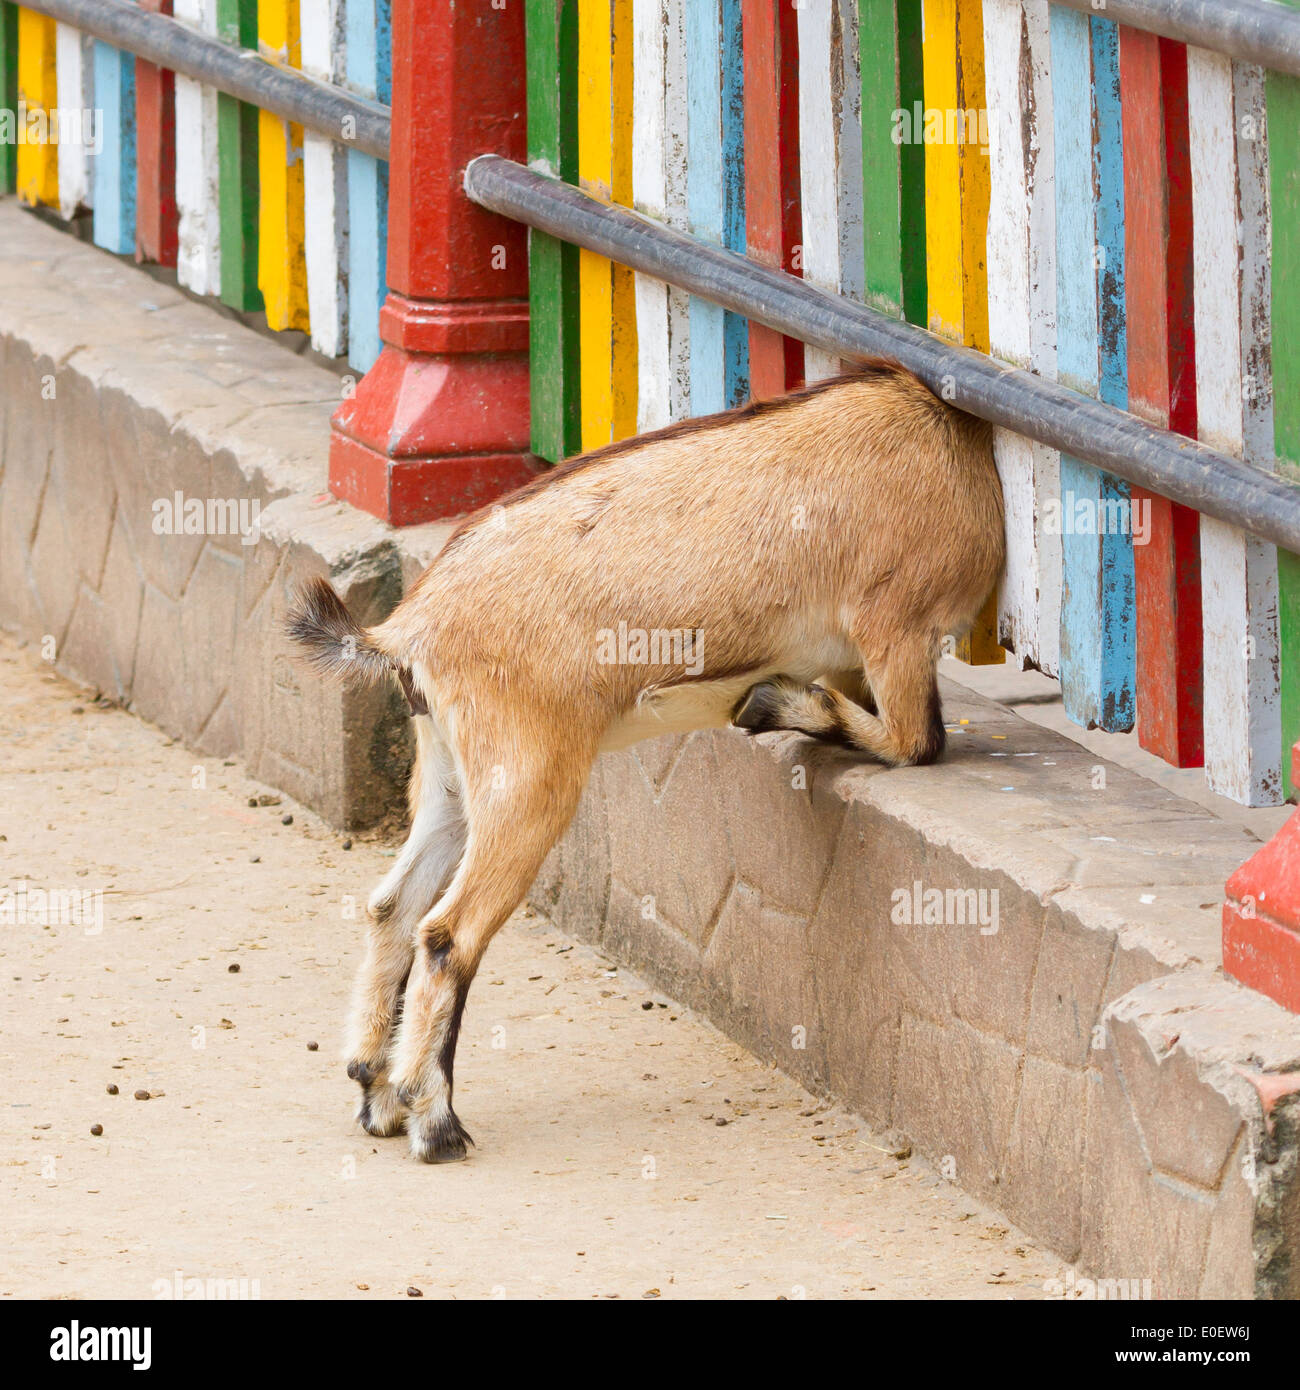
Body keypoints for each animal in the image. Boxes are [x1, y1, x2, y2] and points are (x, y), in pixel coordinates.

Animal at [286, 359, 1004, 1163]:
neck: (946, 435)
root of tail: (407, 630)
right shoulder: (895, 627)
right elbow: (916, 741)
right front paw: (767, 701)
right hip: (528, 774)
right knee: (448, 933)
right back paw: (436, 1123)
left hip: (449, 774)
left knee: (392, 906)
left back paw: (377, 1096)